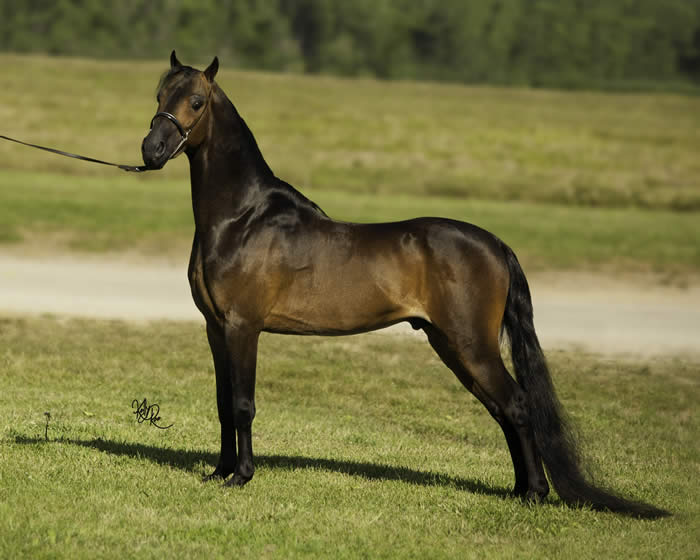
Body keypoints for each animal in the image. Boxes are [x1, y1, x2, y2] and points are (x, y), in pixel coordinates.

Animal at [141, 51, 667, 518]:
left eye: (196, 102)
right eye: (160, 94)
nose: (151, 150)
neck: (244, 217)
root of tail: (495, 244)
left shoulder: (243, 327)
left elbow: (243, 404)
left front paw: (241, 476)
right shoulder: (216, 329)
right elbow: (222, 403)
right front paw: (218, 471)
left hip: (469, 343)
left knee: (516, 404)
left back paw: (535, 493)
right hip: (451, 344)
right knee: (502, 408)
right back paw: (519, 491)